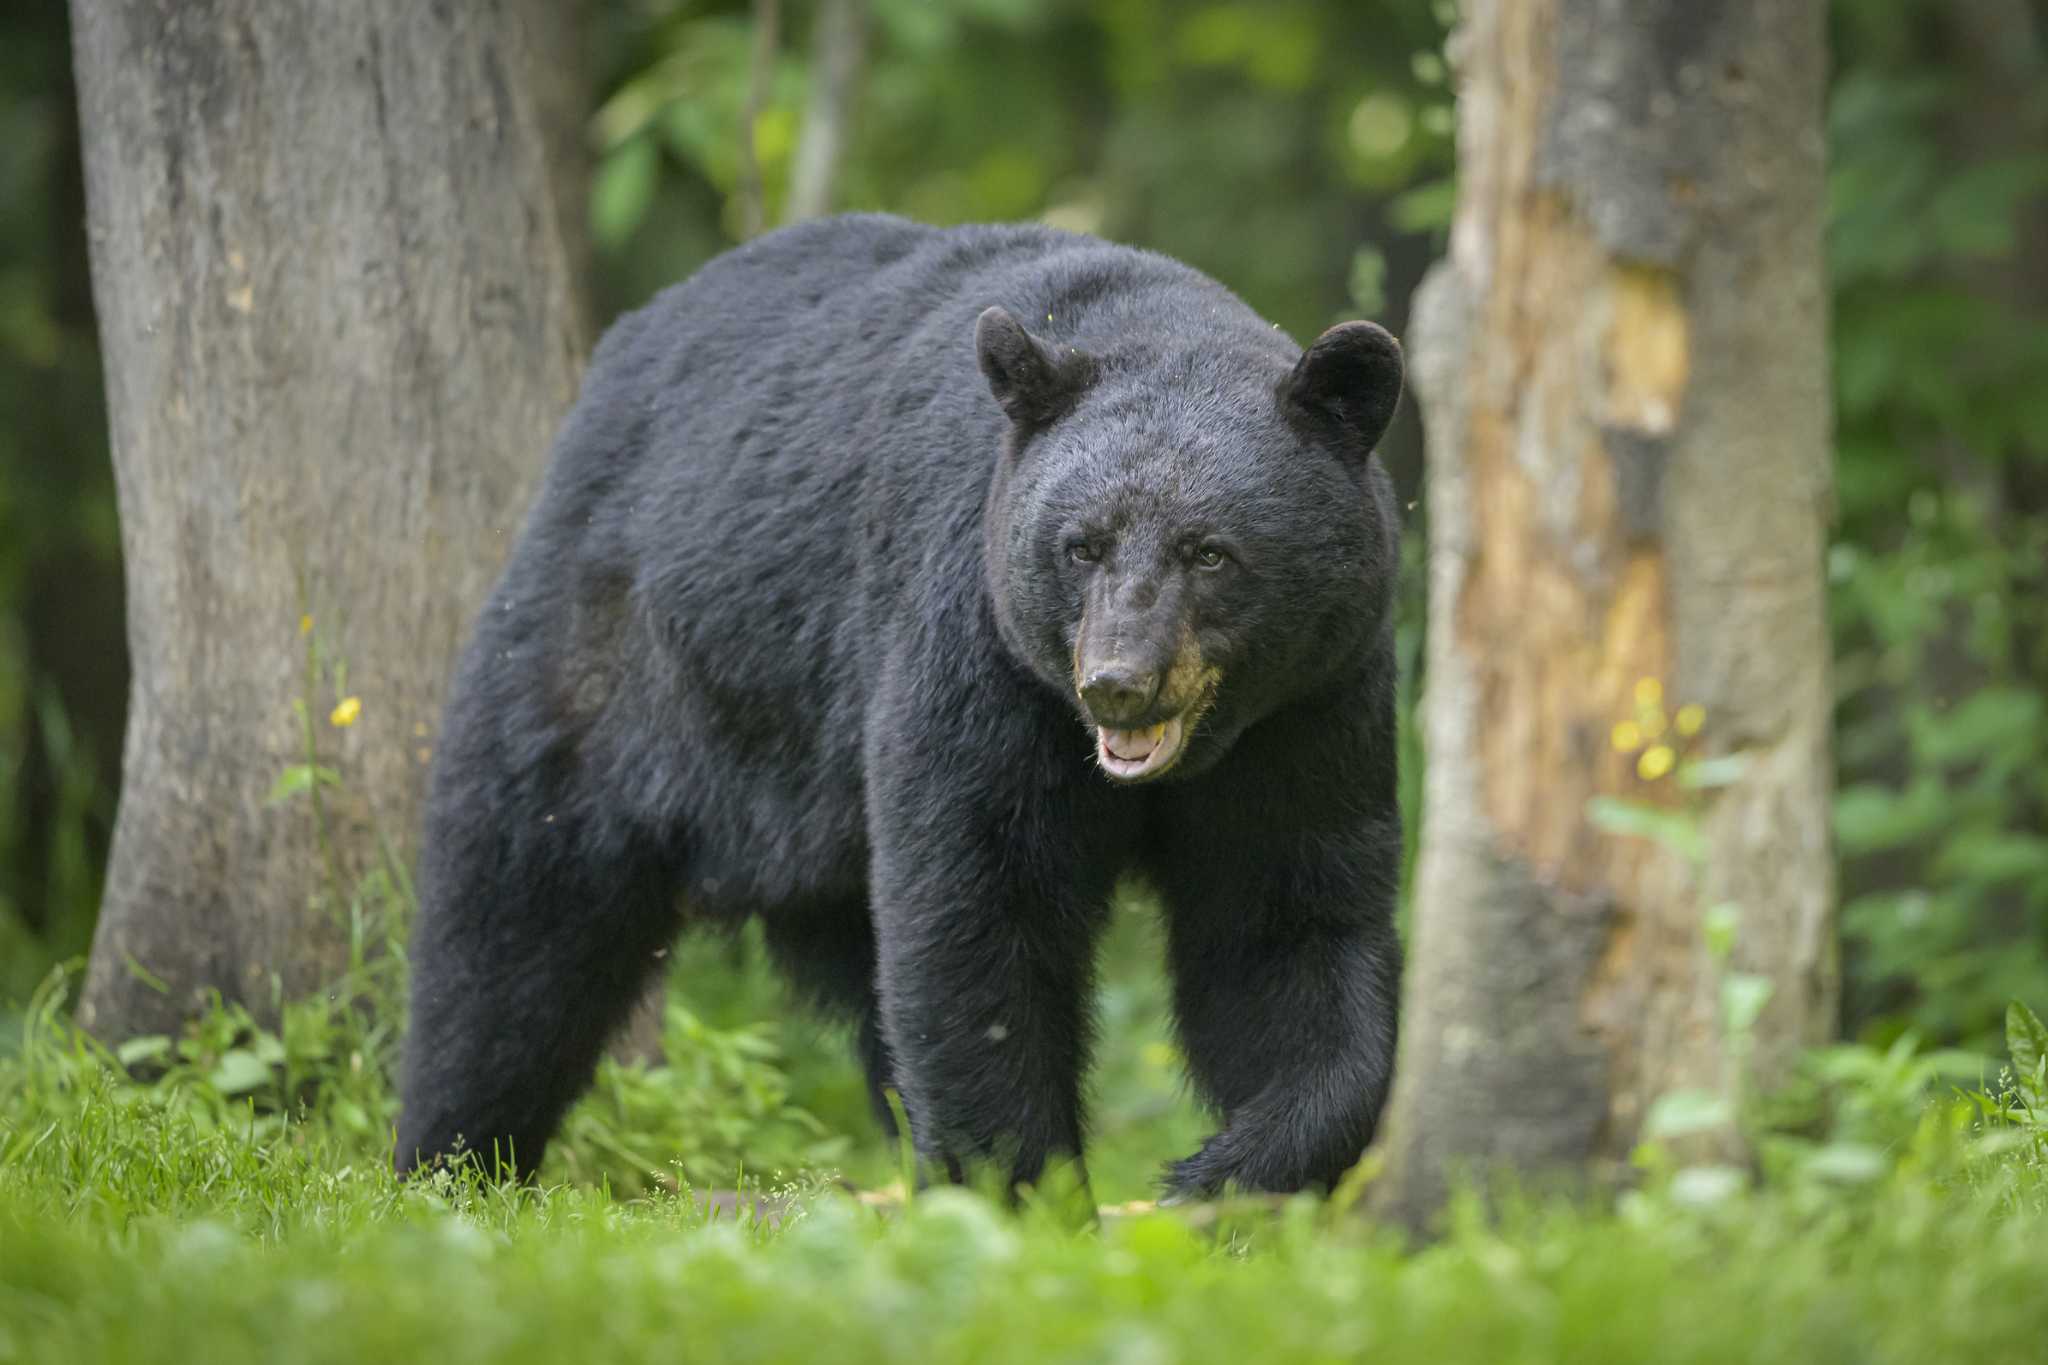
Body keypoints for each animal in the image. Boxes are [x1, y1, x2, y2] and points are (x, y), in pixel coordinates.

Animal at [395, 212, 1405, 1200]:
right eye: (1081, 544)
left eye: (1211, 552)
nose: (1118, 680)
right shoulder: (975, 645)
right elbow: (977, 903)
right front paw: (1023, 1188)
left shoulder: (1309, 707)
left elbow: (1285, 920)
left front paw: (1230, 1168)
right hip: (610, 666)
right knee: (514, 926)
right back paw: (451, 1161)